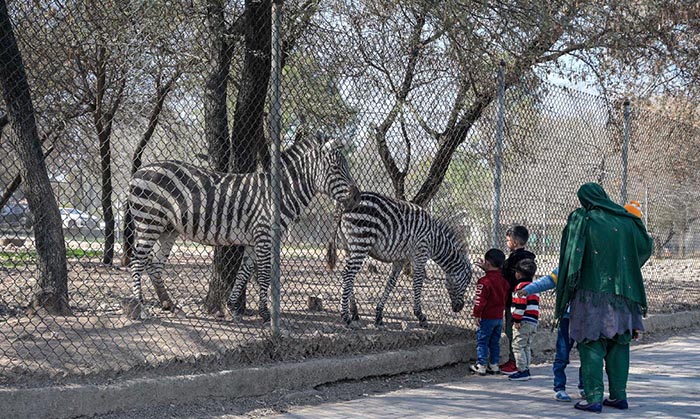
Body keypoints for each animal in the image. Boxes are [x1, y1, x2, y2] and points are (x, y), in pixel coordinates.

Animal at [122, 134, 360, 321]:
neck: (280, 193)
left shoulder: (254, 239)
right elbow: (264, 274)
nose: (357, 197)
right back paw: (140, 308)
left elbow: (244, 272)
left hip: (167, 229)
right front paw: (265, 314)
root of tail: (137, 172)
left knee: (154, 264)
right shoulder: (264, 234)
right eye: (336, 168)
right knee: (138, 261)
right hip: (149, 221)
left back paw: (169, 304)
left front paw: (234, 307)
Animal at [326, 191, 473, 326]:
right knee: (348, 273)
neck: (436, 241)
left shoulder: (400, 260)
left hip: (348, 245)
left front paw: (379, 315)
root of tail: (344, 200)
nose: (459, 308)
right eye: (467, 282)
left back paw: (354, 312)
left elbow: (391, 283)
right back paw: (345, 316)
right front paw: (420, 316)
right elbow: (418, 283)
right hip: (362, 241)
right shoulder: (421, 254)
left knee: (348, 274)